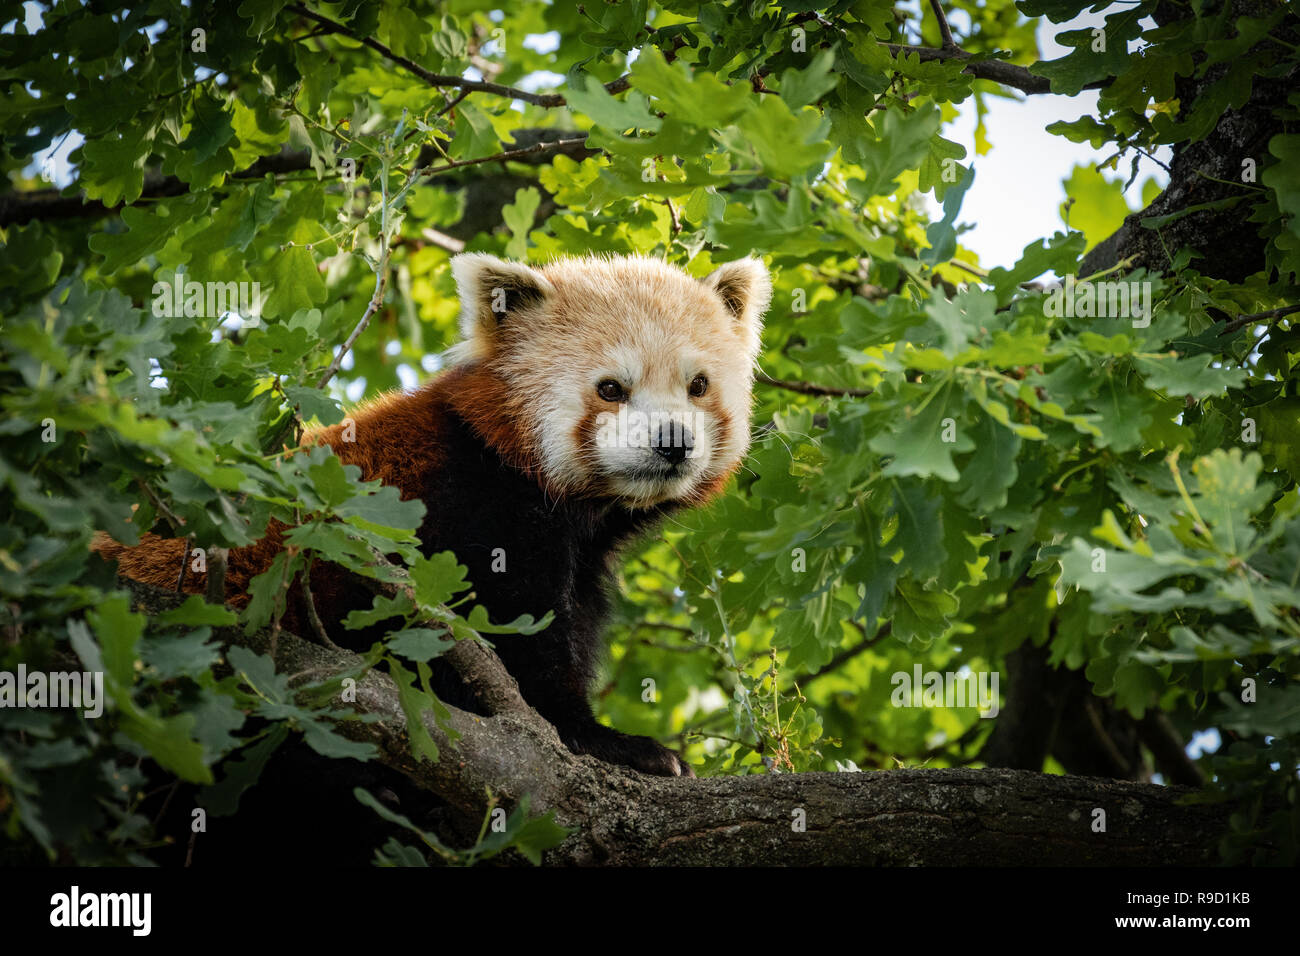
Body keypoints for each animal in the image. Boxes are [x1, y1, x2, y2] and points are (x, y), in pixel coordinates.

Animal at [97, 253, 772, 781]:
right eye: (611, 389)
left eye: (698, 385)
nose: (673, 442)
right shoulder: (469, 521)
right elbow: (519, 648)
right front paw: (608, 742)